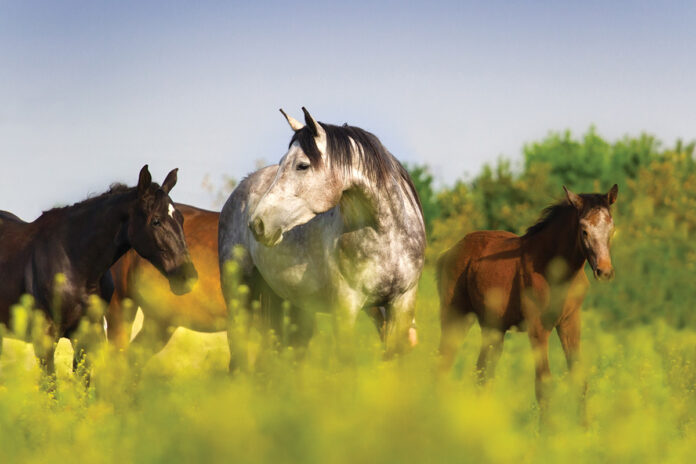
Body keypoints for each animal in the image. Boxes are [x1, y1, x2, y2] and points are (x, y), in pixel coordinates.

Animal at [0, 165, 198, 381]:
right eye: (155, 221)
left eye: (181, 219)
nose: (188, 276)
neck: (74, 262)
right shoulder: (44, 340)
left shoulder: (87, 338)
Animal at [218, 108, 425, 370]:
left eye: (302, 165)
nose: (258, 224)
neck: (386, 237)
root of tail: (242, 186)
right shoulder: (345, 308)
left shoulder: (401, 303)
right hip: (239, 294)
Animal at [437, 184, 618, 418]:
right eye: (584, 230)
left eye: (611, 228)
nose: (604, 271)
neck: (553, 269)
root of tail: (449, 253)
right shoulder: (538, 327)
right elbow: (544, 385)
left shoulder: (570, 322)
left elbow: (579, 379)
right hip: (455, 317)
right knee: (443, 364)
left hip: (492, 328)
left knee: (483, 373)